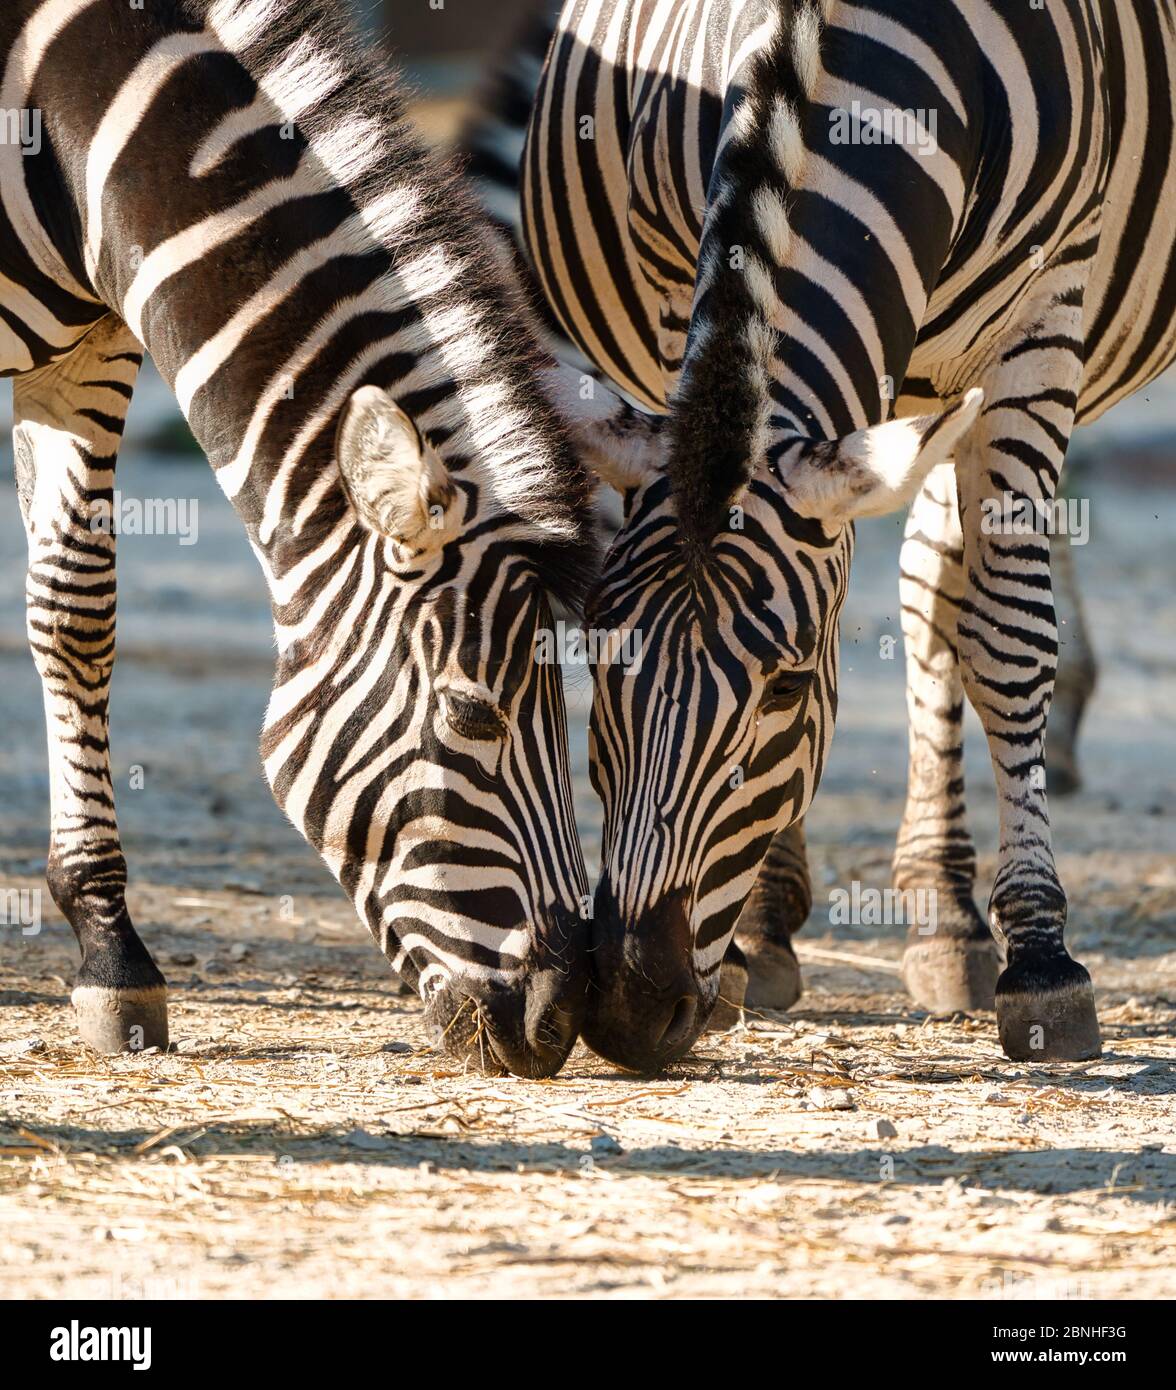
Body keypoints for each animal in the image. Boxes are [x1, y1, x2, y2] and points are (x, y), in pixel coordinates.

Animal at [509, 0, 1175, 1071]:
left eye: (785, 687)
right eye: (596, 664)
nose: (625, 1011)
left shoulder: (1042, 316)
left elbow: (1007, 633)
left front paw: (1041, 958)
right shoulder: (678, 287)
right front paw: (752, 936)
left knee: (940, 588)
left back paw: (947, 913)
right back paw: (813, 923)